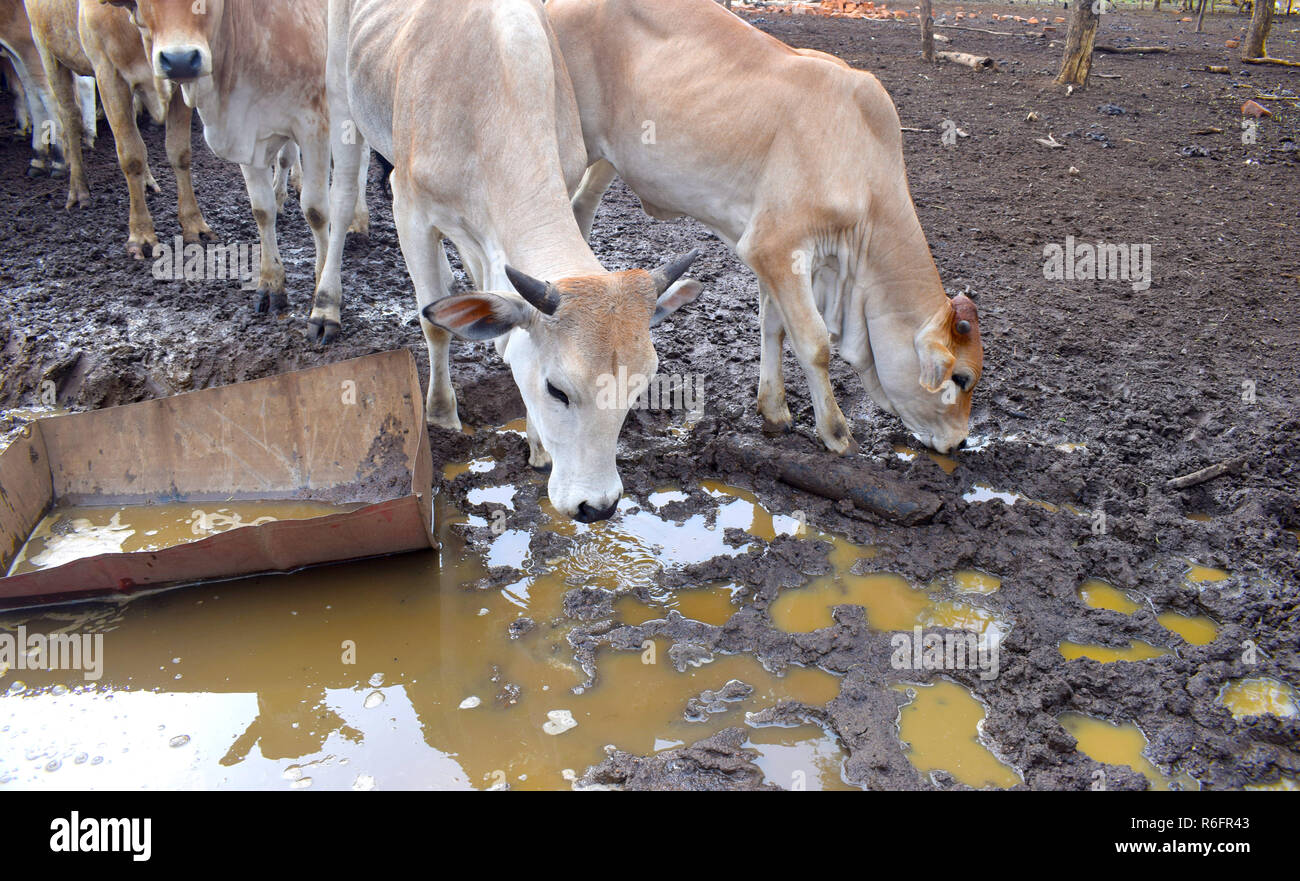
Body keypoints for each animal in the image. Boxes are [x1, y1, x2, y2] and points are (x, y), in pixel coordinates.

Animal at [25, 0, 210, 257]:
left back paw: (146, 181)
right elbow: (131, 156)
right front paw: (141, 235)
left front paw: (194, 225)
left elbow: (179, 152)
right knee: (70, 117)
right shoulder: (109, 75)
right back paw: (78, 190)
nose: (179, 58)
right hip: (47, 51)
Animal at [105, 0, 370, 318]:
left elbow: (316, 211)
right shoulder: (248, 137)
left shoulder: (314, 126)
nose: (180, 61)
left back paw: (358, 219)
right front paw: (270, 284)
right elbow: (262, 211)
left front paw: (323, 288)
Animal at [316, 0, 702, 522]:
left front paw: (537, 443)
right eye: (558, 389)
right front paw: (442, 415)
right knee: (339, 200)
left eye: (639, 389)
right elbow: (435, 323)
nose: (597, 506)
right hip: (341, 98)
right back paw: (325, 307)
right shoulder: (410, 209)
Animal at [549, 0, 983, 455]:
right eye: (961, 378)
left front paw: (774, 410)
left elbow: (773, 327)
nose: (959, 442)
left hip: (606, 156)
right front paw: (837, 433)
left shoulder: (777, 257)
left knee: (581, 207)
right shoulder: (776, 245)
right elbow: (814, 343)